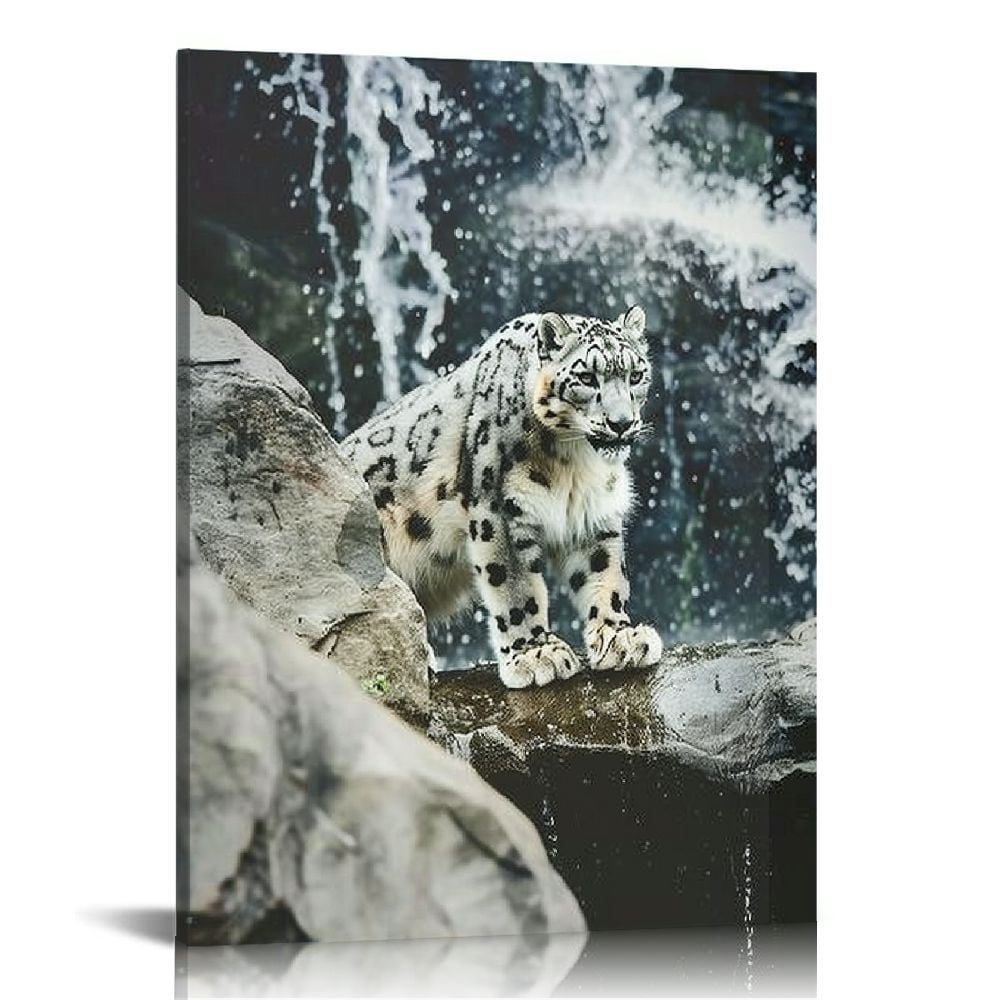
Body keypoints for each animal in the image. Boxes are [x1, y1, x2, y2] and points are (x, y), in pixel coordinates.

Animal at [341, 305, 664, 688]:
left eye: (636, 375)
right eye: (586, 377)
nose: (621, 423)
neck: (576, 463)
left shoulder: (591, 511)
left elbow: (606, 571)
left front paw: (619, 636)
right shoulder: (498, 510)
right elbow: (516, 587)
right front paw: (536, 653)